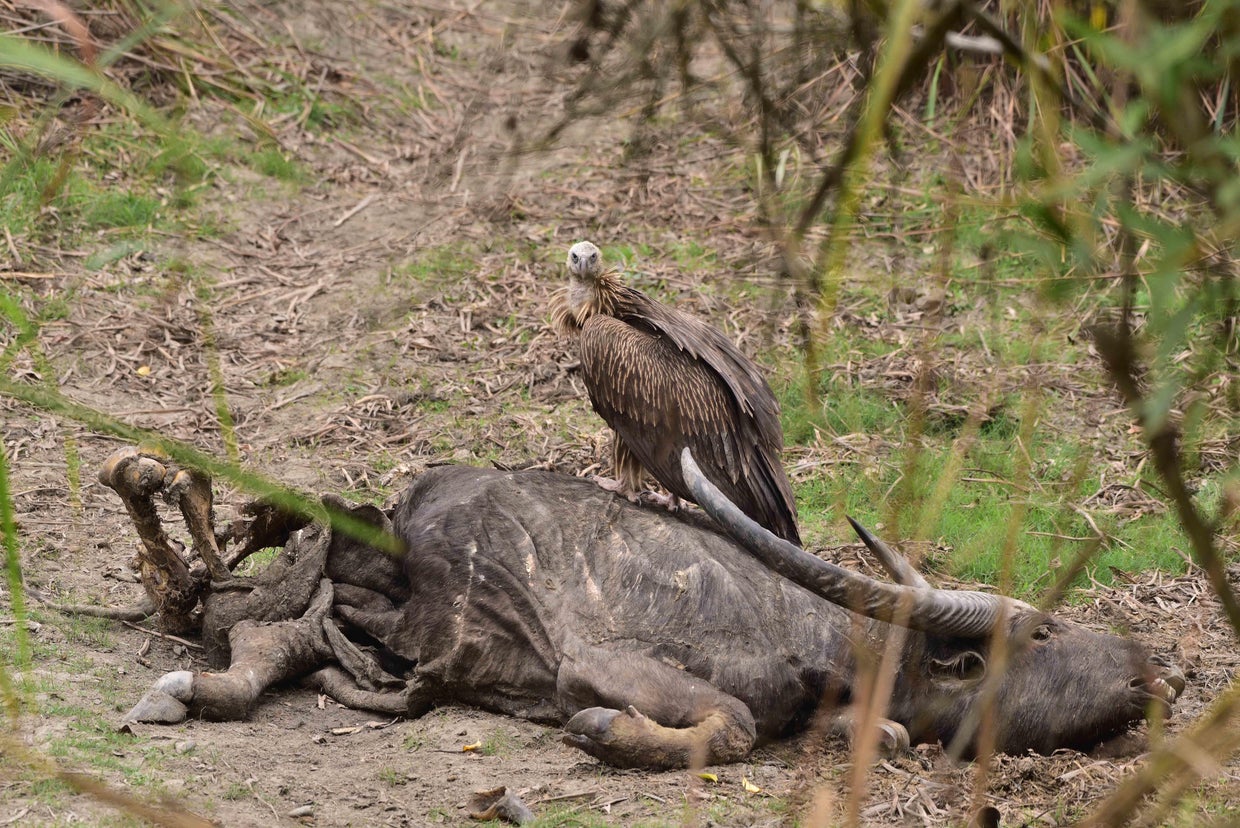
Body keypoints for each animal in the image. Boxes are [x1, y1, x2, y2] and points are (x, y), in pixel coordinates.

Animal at [109, 448, 1183, 769]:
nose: (1154, 662)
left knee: (276, 635)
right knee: (252, 627)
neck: (836, 646)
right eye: (1044, 631)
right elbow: (736, 724)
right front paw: (601, 733)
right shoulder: (599, 660)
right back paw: (181, 681)